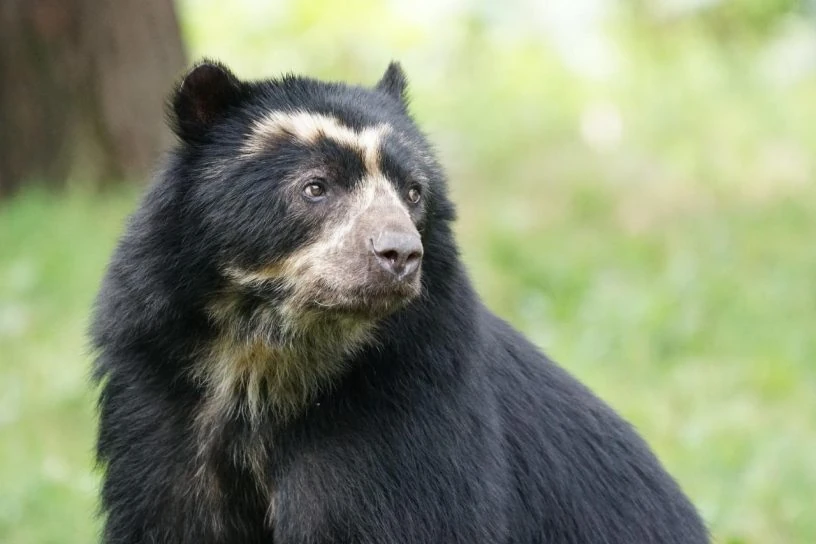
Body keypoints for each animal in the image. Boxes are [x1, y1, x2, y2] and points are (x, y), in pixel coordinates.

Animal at [91, 60, 709, 544]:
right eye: (315, 187)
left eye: (413, 193)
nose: (400, 254)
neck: (268, 356)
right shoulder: (162, 400)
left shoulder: (402, 404)